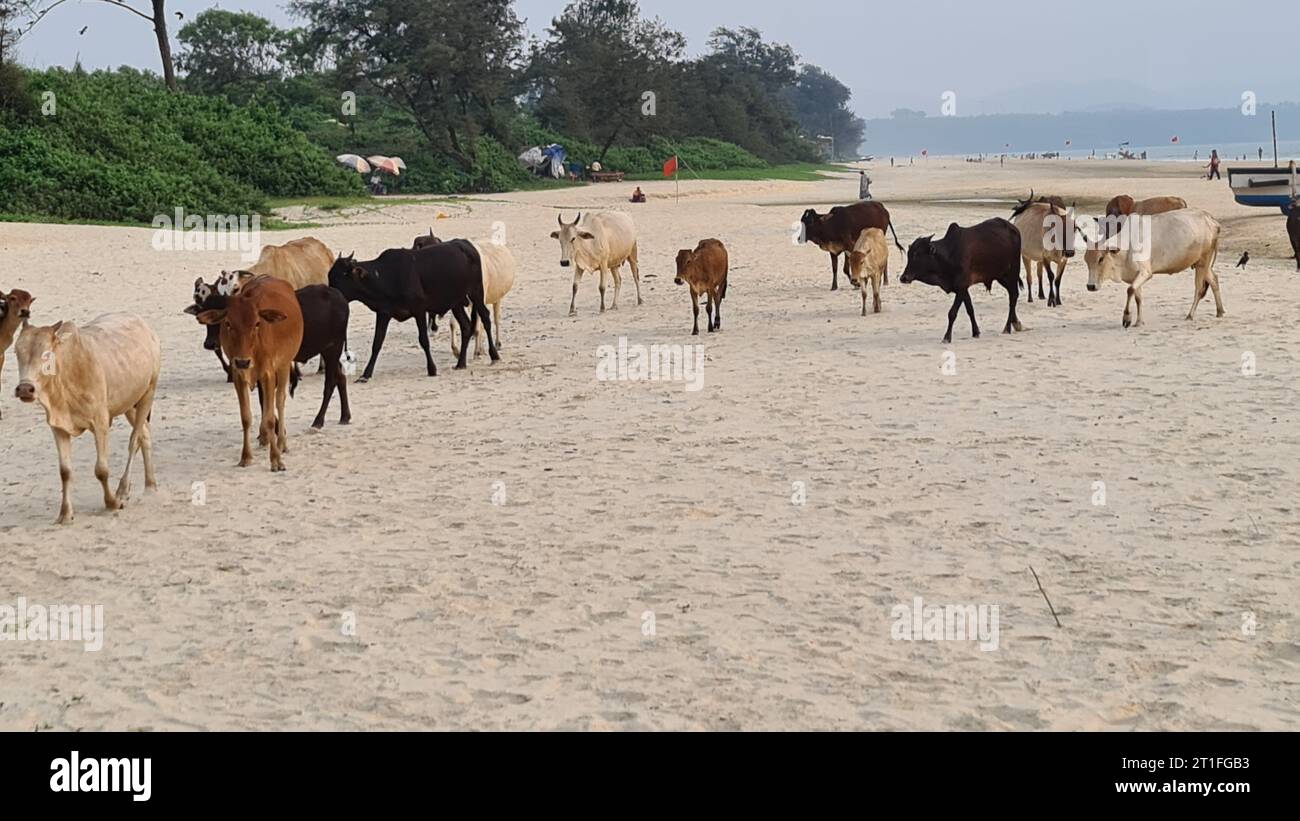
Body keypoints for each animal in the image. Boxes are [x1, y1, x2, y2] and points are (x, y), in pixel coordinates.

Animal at [13, 309, 161, 524]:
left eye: (47, 355)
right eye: (17, 352)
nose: (25, 389)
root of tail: (147, 328)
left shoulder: (100, 422)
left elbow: (101, 470)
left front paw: (111, 503)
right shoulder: (58, 428)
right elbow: (65, 471)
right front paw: (65, 513)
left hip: (148, 393)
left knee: (135, 440)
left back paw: (123, 490)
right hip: (130, 404)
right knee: (145, 435)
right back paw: (150, 485)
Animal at [189, 285, 351, 429]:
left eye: (221, 320)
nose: (209, 343)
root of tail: (339, 297)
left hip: (334, 348)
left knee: (330, 382)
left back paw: (318, 420)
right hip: (328, 350)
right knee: (341, 377)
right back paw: (345, 416)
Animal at [195, 276, 304, 471]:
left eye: (257, 323)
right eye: (228, 323)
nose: (243, 361)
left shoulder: (269, 373)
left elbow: (270, 417)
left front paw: (276, 460)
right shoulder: (238, 375)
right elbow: (246, 417)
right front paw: (245, 457)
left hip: (284, 364)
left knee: (280, 401)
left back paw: (281, 442)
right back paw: (265, 437)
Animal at [328, 240, 496, 381]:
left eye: (342, 275)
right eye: (330, 276)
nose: (330, 293)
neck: (386, 276)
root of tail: (466, 244)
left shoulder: (419, 310)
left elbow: (424, 340)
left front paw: (432, 369)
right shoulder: (383, 313)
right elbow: (377, 343)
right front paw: (366, 374)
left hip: (476, 292)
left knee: (486, 317)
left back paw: (494, 355)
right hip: (456, 302)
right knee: (466, 326)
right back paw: (461, 363)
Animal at [1084, 208, 1224, 328]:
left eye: (1101, 259)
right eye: (1086, 260)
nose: (1090, 286)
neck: (1127, 247)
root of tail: (1211, 219)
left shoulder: (1145, 272)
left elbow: (1130, 290)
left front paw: (1127, 318)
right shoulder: (1135, 276)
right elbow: (1137, 297)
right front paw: (1139, 322)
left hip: (1203, 262)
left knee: (1199, 289)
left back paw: (1190, 315)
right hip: (1201, 263)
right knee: (1214, 279)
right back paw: (1220, 311)